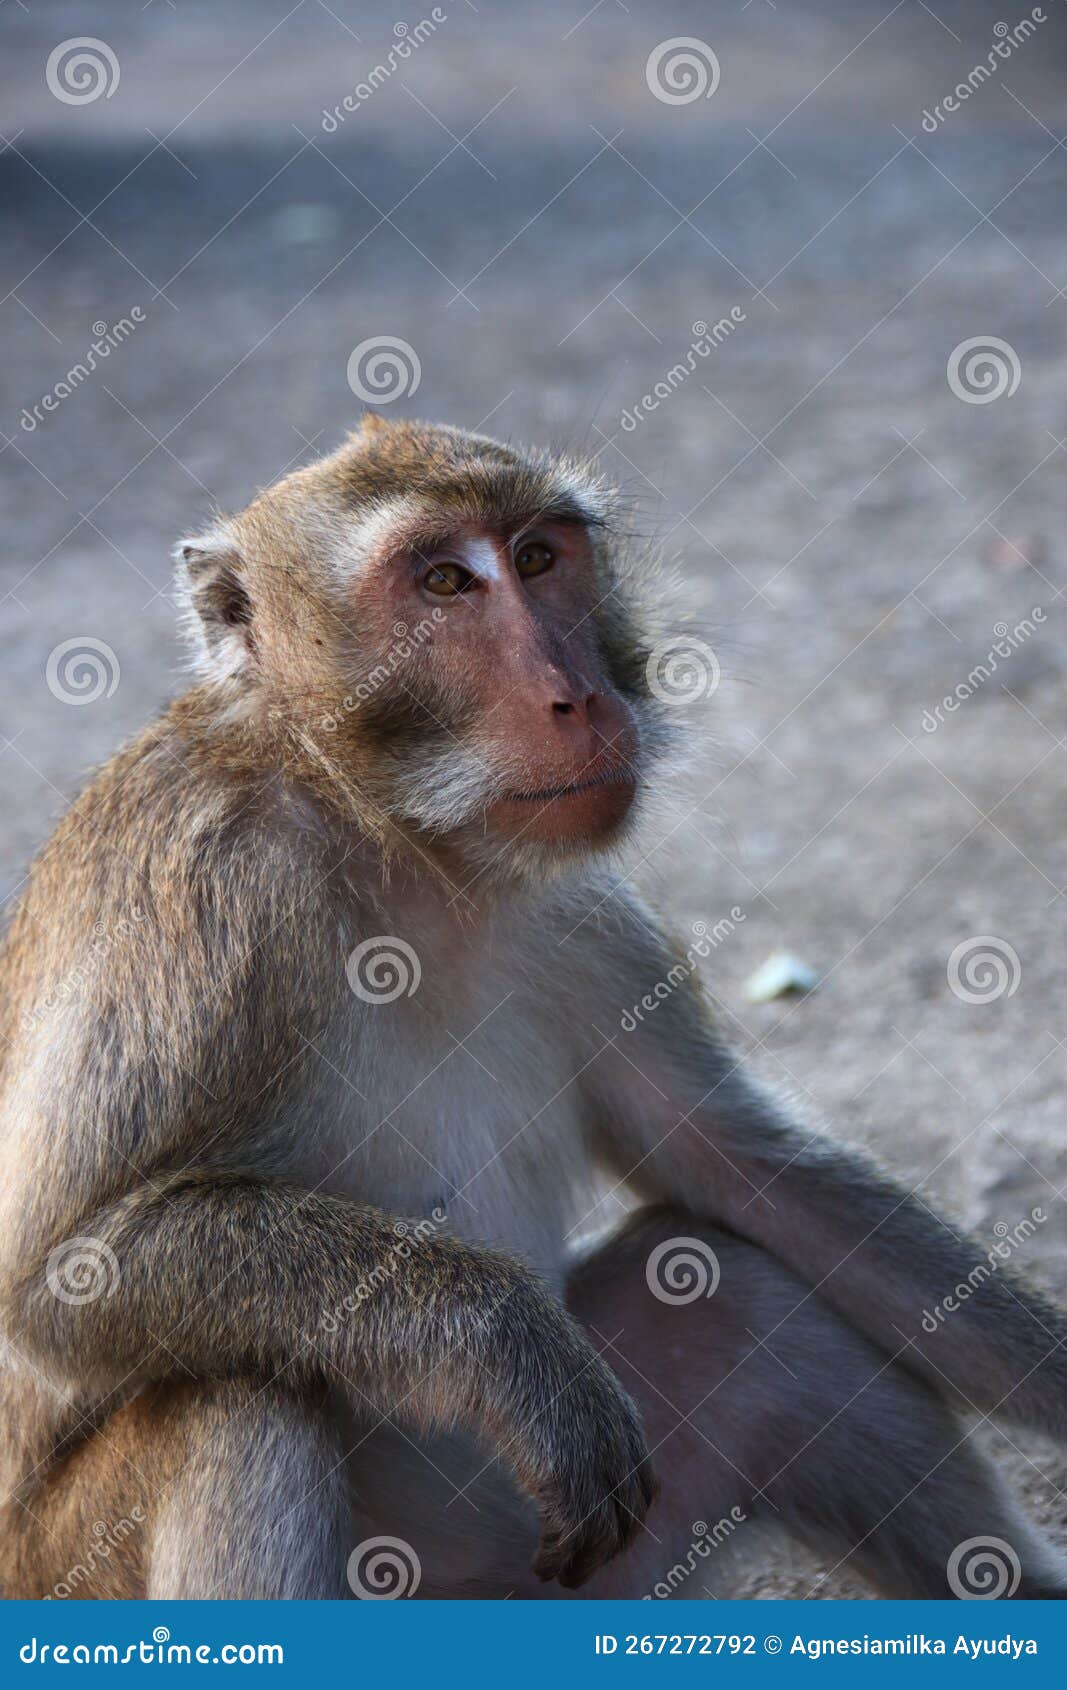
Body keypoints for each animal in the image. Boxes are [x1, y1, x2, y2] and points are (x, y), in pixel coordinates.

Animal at [1, 414, 1066, 1602]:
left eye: (540, 556)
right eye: (441, 582)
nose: (578, 695)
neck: (396, 843)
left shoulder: (584, 916)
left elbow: (738, 1167)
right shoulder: (202, 893)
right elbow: (57, 1271)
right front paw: (506, 1344)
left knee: (737, 1294)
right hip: (70, 1566)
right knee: (238, 1409)